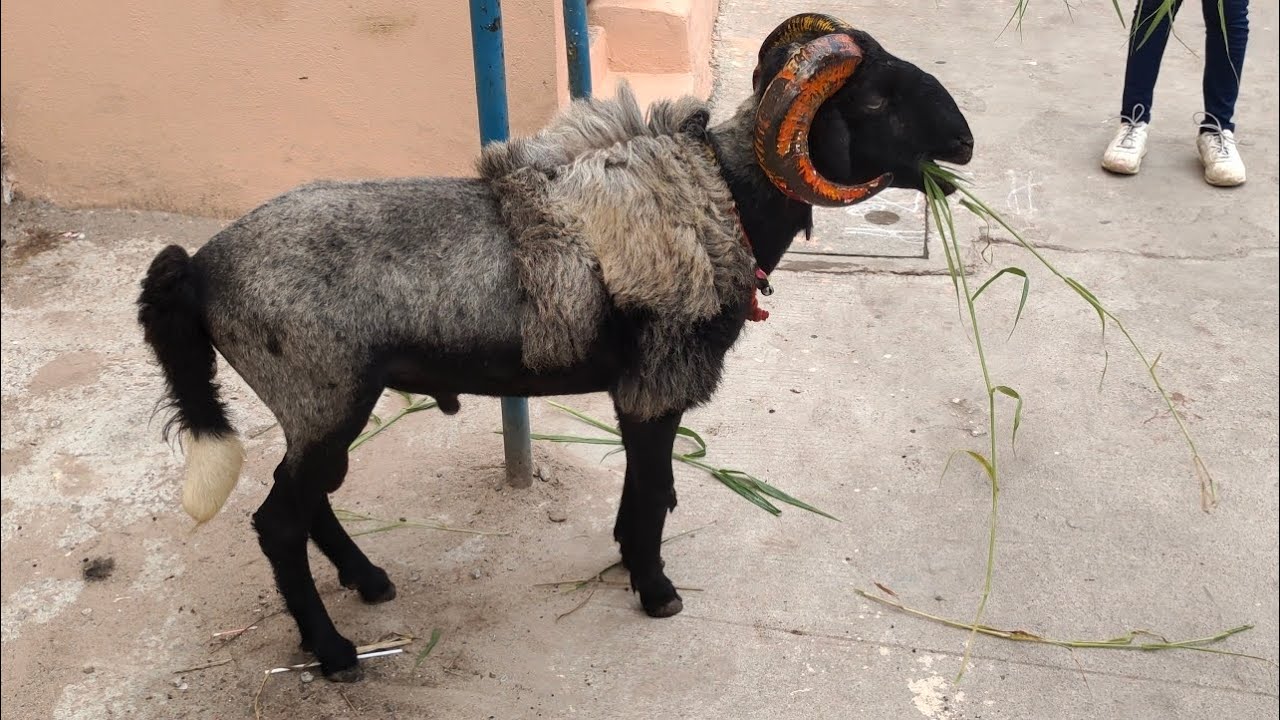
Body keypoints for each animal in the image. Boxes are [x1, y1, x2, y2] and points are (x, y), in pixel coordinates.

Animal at [136, 13, 974, 682]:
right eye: (874, 99)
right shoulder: (656, 383)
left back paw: (369, 580)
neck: (727, 196)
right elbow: (650, 492)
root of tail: (200, 269)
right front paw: (655, 590)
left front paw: (631, 562)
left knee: (305, 501)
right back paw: (337, 652)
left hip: (319, 407)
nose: (964, 141)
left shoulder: (640, 389)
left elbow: (647, 486)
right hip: (324, 393)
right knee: (279, 521)